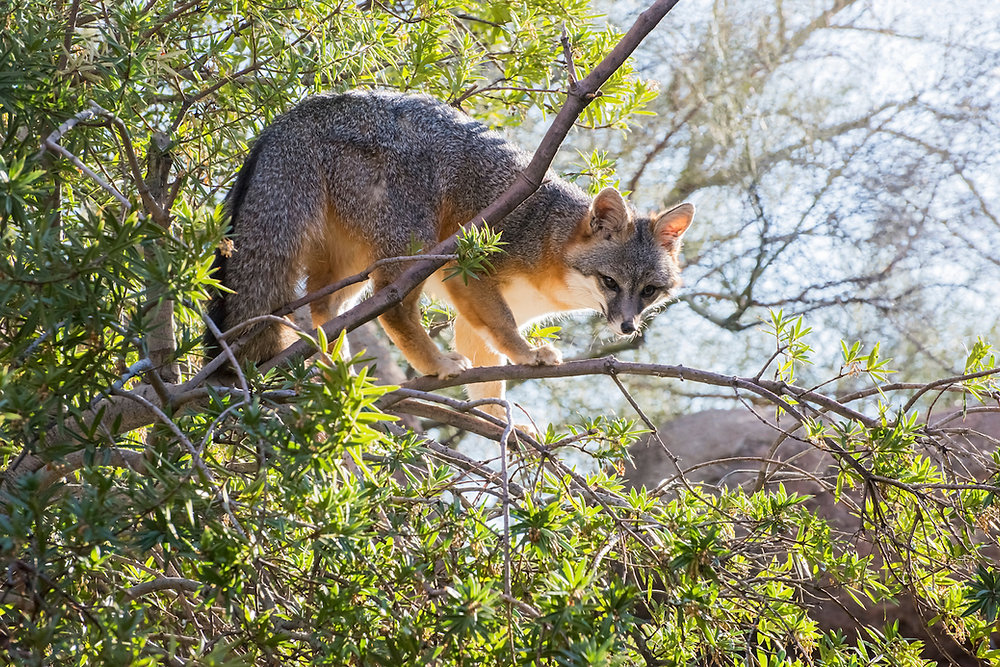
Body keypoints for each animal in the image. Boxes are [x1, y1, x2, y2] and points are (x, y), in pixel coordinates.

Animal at [206, 90, 694, 416]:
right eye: (610, 282)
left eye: (649, 291)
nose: (627, 326)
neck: (549, 237)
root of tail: (305, 110)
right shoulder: (468, 272)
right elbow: (504, 331)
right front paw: (528, 355)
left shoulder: (475, 317)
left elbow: (490, 378)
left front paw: (499, 426)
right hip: (412, 251)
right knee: (392, 306)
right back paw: (433, 362)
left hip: (353, 263)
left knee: (325, 308)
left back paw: (337, 370)